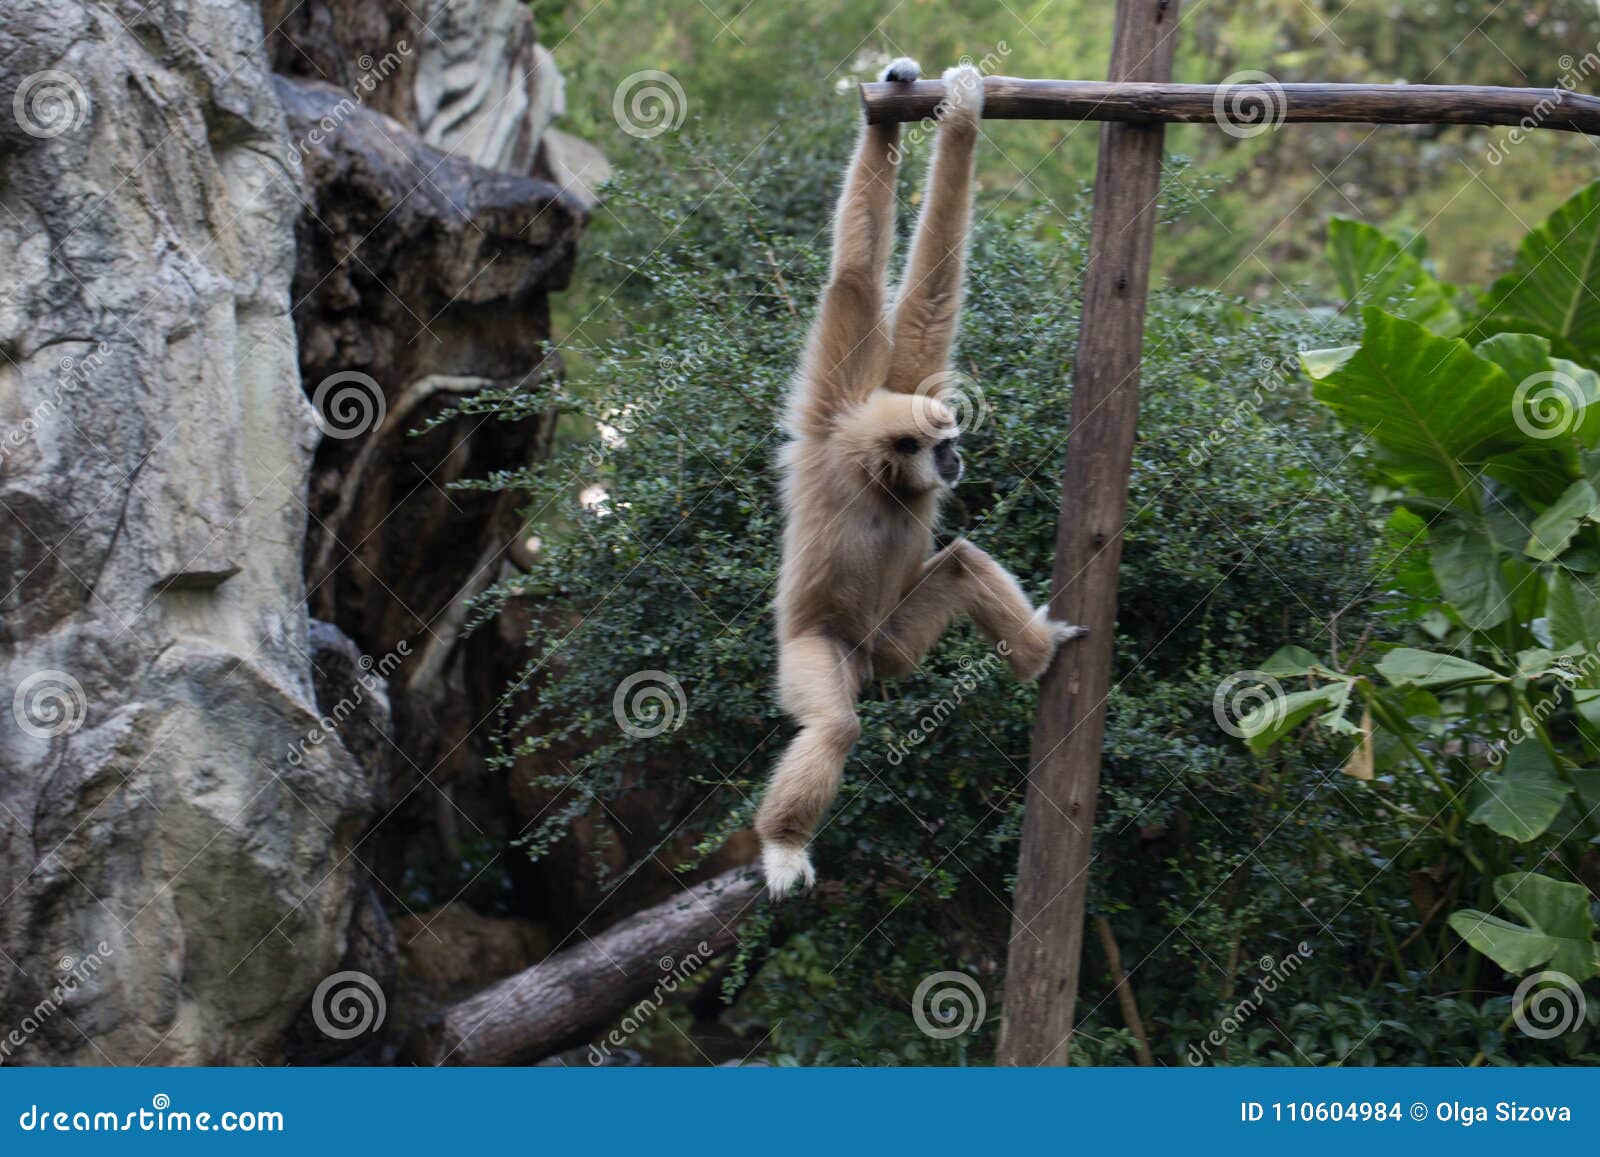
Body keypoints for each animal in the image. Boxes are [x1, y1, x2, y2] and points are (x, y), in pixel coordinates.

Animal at [754, 58, 1087, 899]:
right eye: (941, 448)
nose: (959, 460)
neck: (875, 476)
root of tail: (870, 660)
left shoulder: (873, 398)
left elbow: (912, 309)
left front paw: (910, 107)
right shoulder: (828, 423)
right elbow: (853, 282)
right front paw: (952, 116)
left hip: (899, 645)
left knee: (962, 563)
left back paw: (1038, 652)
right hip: (819, 652)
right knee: (834, 720)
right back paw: (782, 843)